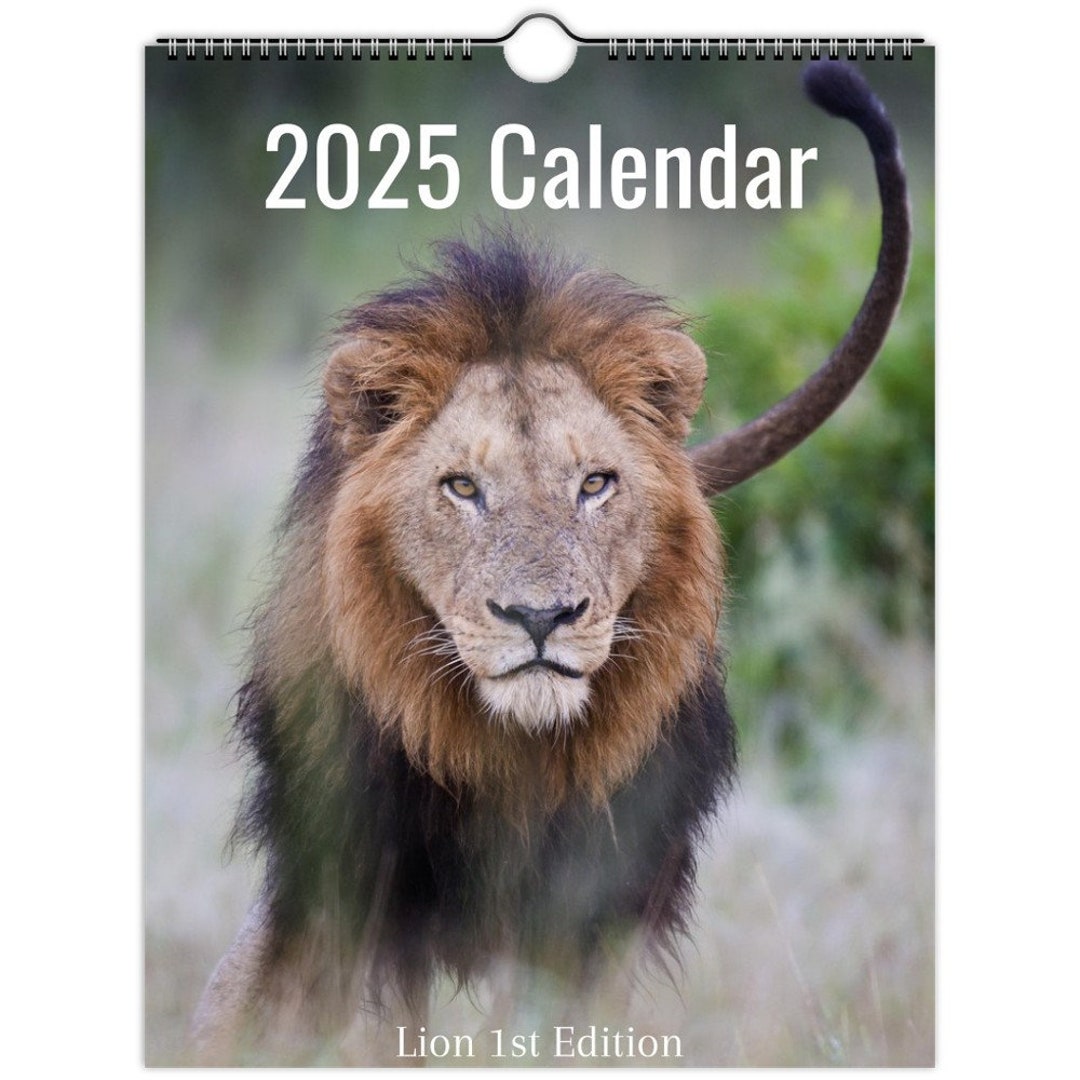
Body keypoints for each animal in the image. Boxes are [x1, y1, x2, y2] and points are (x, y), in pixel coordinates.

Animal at [192, 62, 910, 1064]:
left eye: (595, 484)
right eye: (462, 487)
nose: (540, 620)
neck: (515, 763)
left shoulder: (601, 913)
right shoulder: (355, 883)